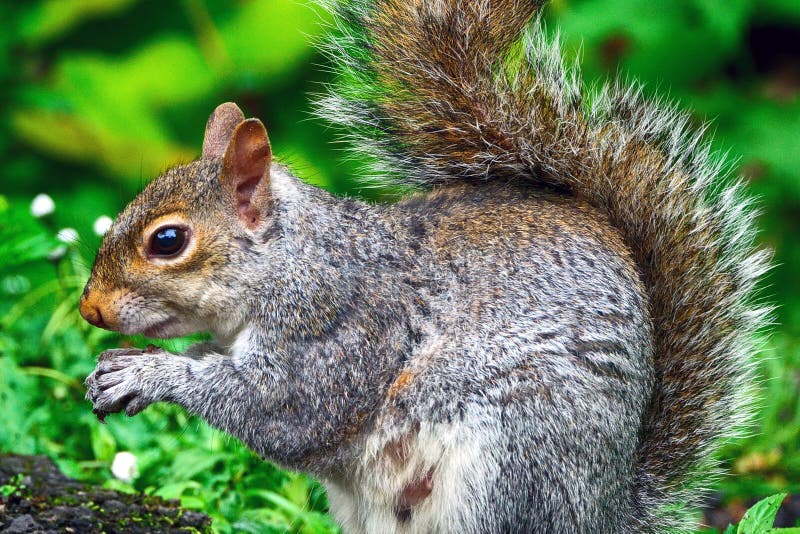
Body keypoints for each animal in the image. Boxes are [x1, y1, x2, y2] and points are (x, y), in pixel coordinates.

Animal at [80, 0, 770, 532]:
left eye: (168, 241)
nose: (89, 308)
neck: (294, 259)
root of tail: (605, 513)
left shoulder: (346, 328)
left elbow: (285, 408)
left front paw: (151, 373)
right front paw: (121, 367)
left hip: (513, 459)